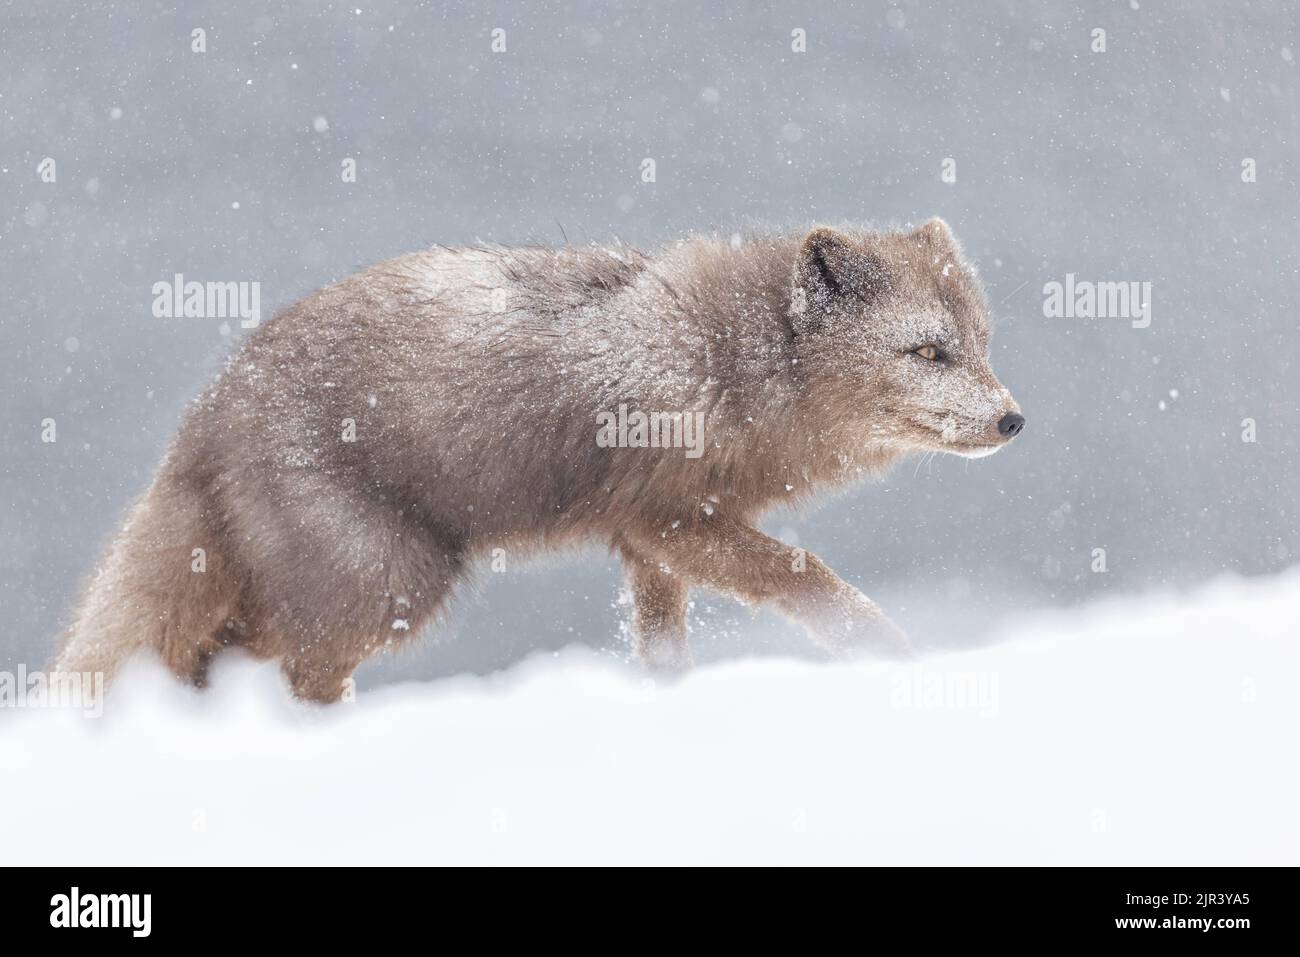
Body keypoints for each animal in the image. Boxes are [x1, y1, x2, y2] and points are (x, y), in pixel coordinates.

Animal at [55, 218, 1024, 702]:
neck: (733, 362)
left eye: (979, 343)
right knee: (270, 666)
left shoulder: (648, 543)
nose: (1014, 420)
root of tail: (206, 416)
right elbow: (809, 579)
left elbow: (660, 640)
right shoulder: (675, 516)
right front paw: (896, 657)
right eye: (927, 352)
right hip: (391, 584)